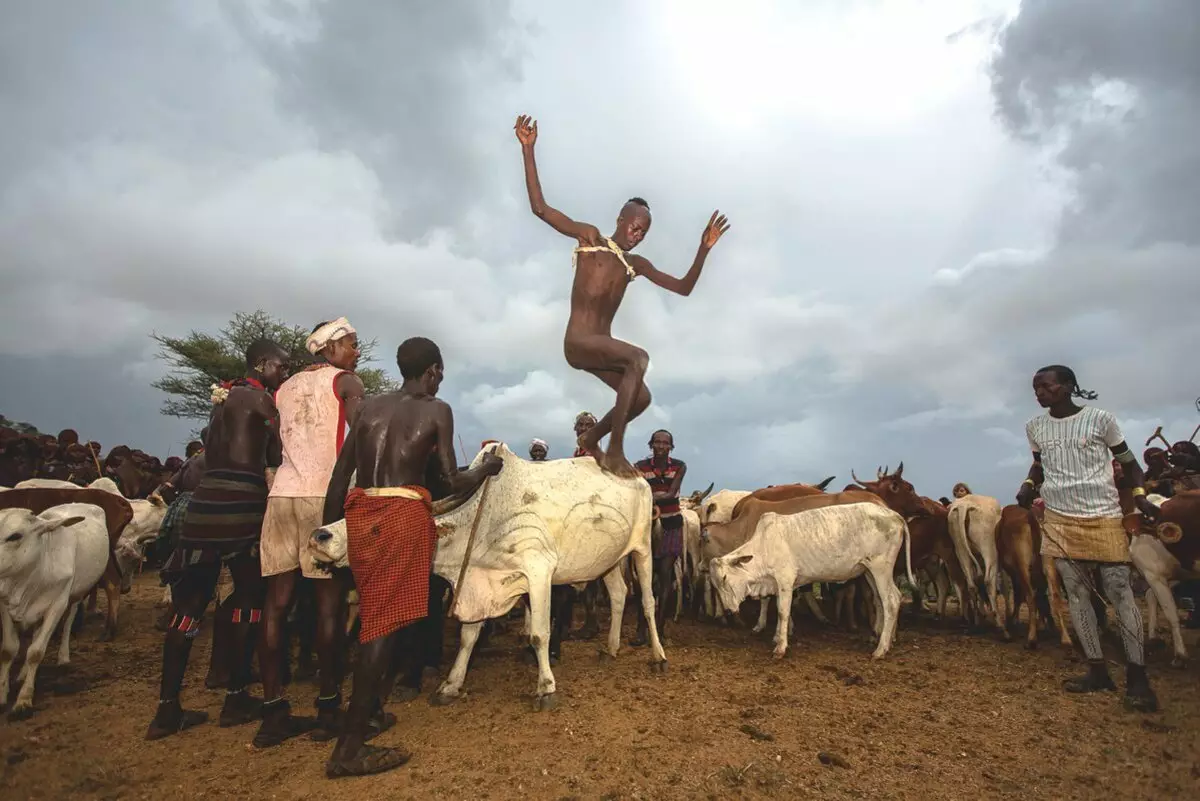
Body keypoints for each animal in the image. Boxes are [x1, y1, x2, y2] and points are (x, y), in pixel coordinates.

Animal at [0, 503, 110, 714]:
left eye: (15, 536)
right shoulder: (5, 604)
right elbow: (9, 649)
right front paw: (2, 694)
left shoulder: (57, 605)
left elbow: (35, 652)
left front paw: (24, 699)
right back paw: (22, 674)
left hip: (75, 595)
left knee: (68, 622)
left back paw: (63, 657)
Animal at [309, 441, 667, 709]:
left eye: (378, 527)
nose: (319, 535)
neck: (481, 519)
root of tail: (639, 477)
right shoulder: (478, 585)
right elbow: (469, 636)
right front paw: (451, 685)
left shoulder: (538, 571)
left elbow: (539, 633)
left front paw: (546, 687)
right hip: (608, 560)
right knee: (619, 596)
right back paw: (611, 649)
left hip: (642, 549)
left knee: (648, 602)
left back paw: (658, 656)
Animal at [705, 503, 912, 661]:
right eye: (715, 584)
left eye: (724, 578)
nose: (729, 611)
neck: (765, 547)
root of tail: (894, 514)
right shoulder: (779, 584)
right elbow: (781, 608)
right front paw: (778, 636)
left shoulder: (785, 580)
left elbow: (783, 611)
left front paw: (780, 648)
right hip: (869, 571)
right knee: (881, 600)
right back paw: (882, 638)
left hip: (881, 568)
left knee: (891, 600)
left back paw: (880, 649)